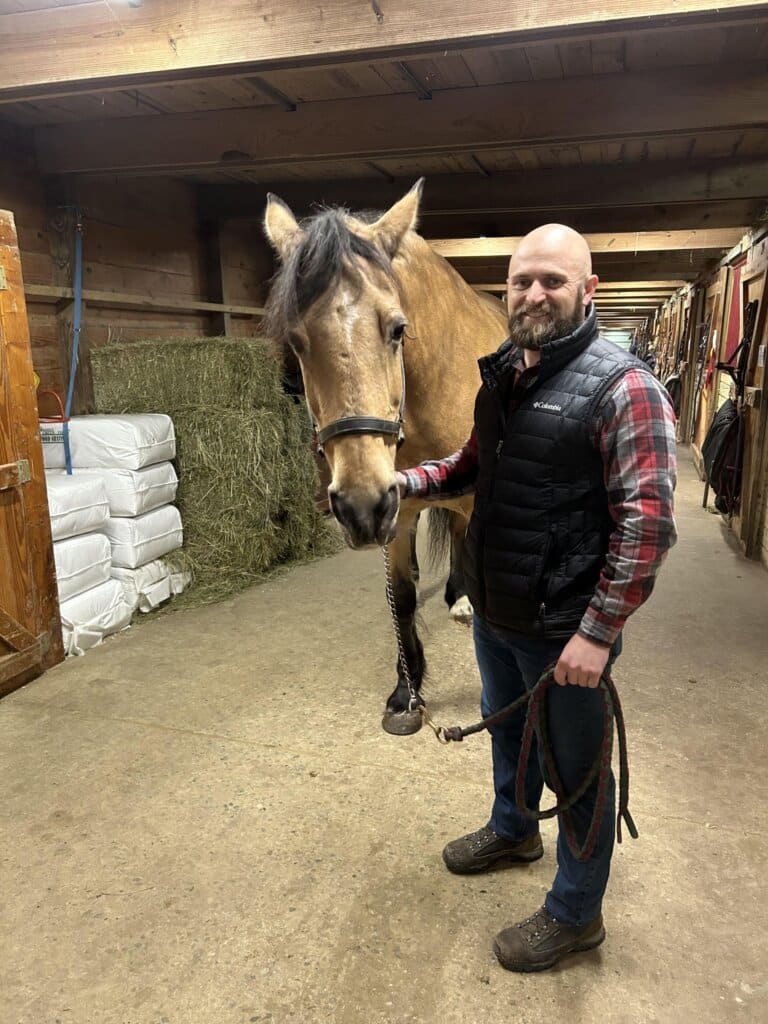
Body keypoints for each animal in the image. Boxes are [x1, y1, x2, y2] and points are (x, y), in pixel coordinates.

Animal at [263, 180, 508, 734]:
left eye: (397, 329)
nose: (359, 506)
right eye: (296, 343)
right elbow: (403, 599)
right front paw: (407, 692)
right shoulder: (399, 508)